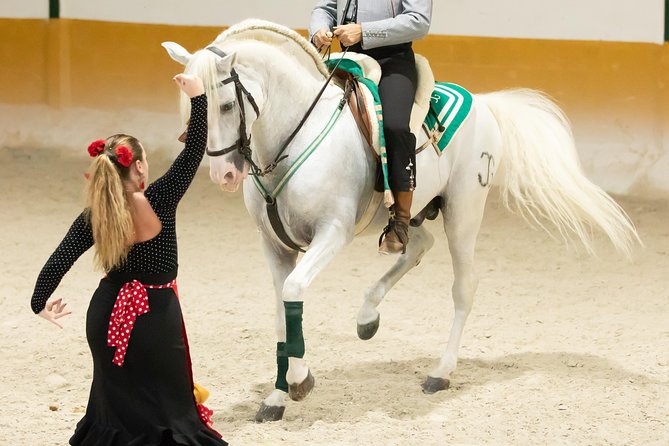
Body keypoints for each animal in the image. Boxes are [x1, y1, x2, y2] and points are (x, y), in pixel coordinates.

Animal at [162, 19, 640, 422]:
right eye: (192, 106)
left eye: (226, 104)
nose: (223, 176)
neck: (294, 136)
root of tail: (483, 104)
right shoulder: (274, 245)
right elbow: (282, 312)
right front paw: (277, 397)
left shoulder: (331, 234)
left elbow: (294, 292)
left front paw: (299, 383)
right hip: (409, 216)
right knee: (415, 245)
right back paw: (367, 317)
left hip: (463, 213)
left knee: (464, 286)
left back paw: (440, 373)